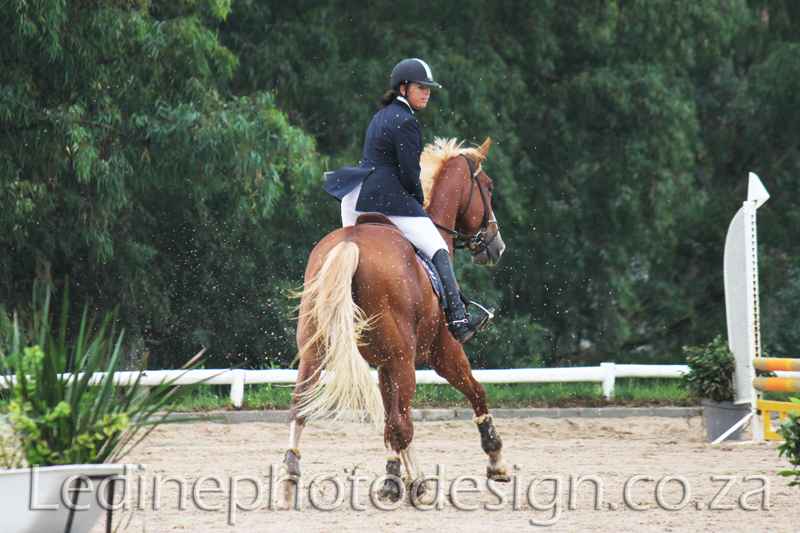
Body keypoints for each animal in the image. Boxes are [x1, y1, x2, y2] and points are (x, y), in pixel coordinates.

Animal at [279, 137, 509, 506]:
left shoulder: (384, 364)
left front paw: (391, 478)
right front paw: (495, 459)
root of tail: (350, 245)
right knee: (404, 422)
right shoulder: (442, 352)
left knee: (301, 406)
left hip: (316, 351)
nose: (496, 245)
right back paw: (422, 486)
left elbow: (388, 421)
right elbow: (476, 393)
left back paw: (290, 477)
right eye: (487, 186)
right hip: (405, 360)